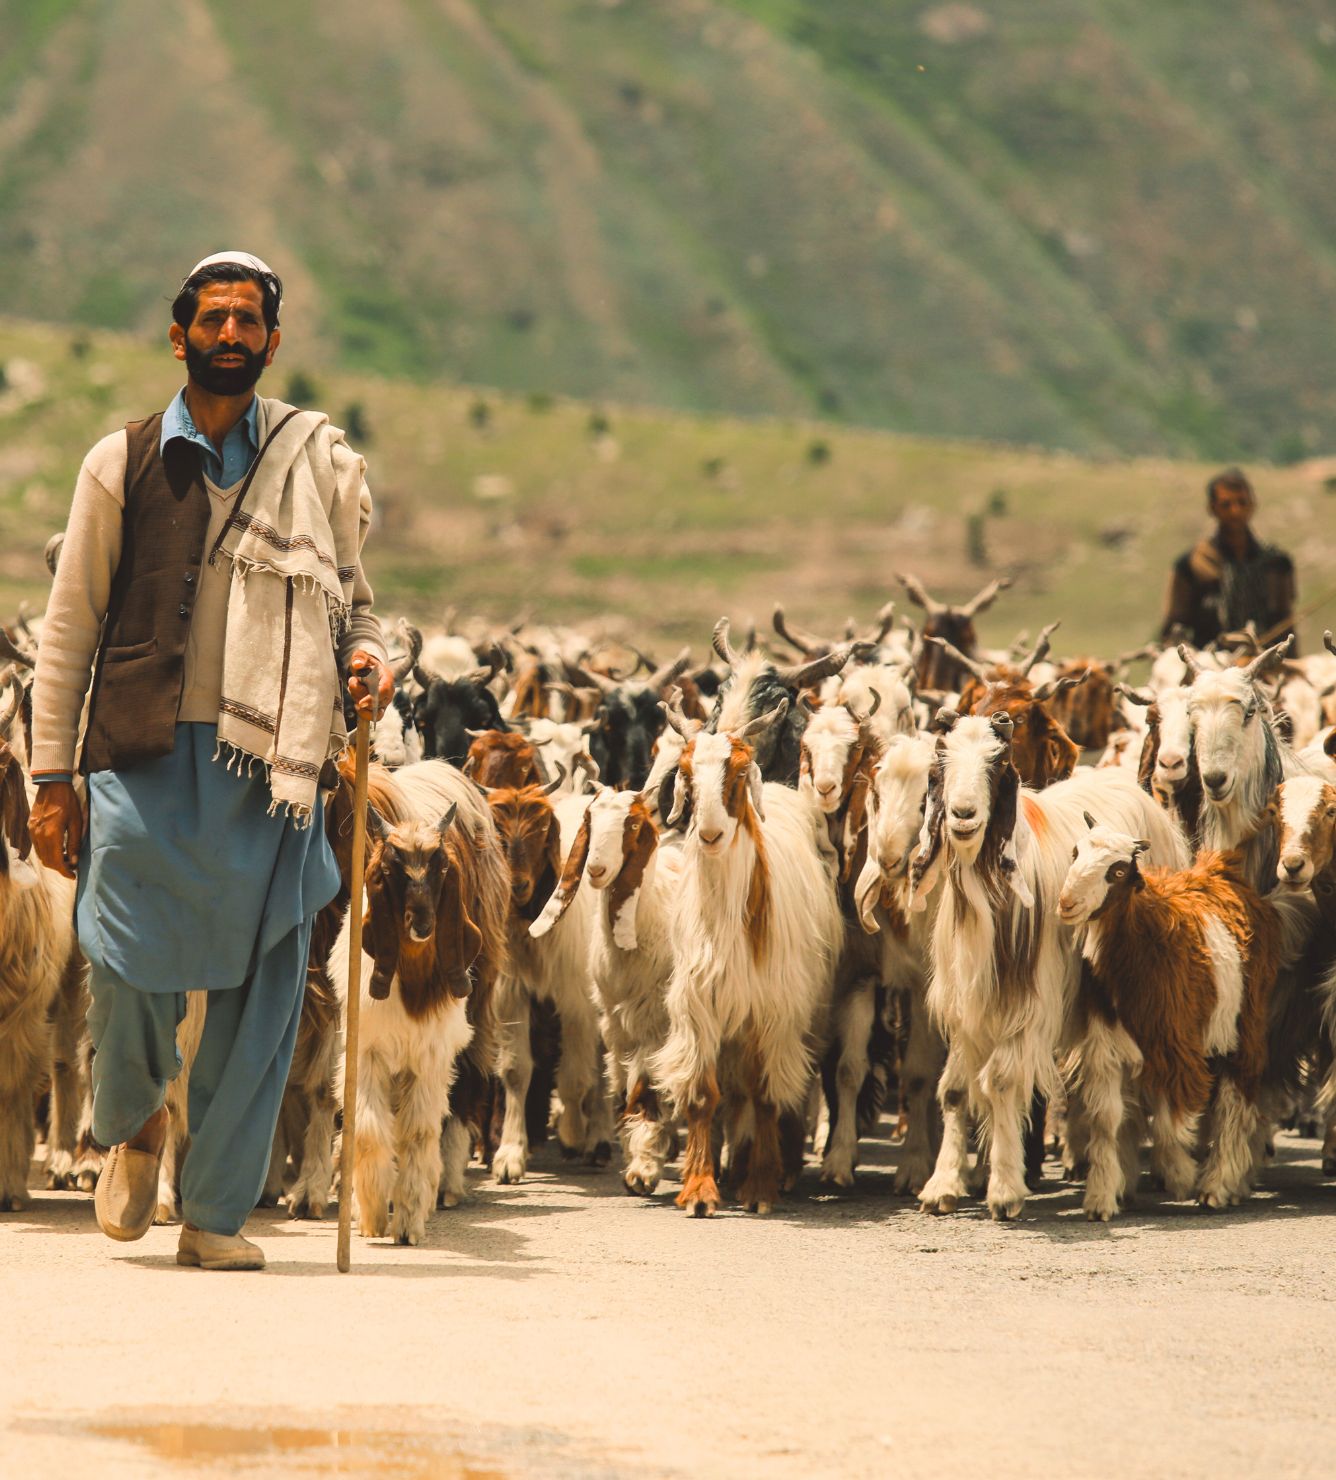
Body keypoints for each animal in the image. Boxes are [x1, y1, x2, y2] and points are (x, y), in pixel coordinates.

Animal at [531, 786, 684, 1194]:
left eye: (631, 825)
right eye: (590, 820)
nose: (596, 869)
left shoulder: (655, 1024)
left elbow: (646, 1086)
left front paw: (644, 1168)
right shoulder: (616, 1026)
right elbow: (623, 1088)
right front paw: (637, 1156)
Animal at [655, 694, 844, 1215]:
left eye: (739, 772)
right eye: (685, 772)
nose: (711, 835)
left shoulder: (774, 1009)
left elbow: (766, 1094)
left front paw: (761, 1186)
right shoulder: (698, 1004)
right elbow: (704, 1094)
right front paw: (699, 1190)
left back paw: (778, 1168)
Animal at [910, 710, 1190, 1221]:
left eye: (998, 764)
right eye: (940, 766)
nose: (963, 815)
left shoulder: (1029, 1004)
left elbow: (1001, 1081)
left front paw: (1005, 1190)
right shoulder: (966, 1008)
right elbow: (956, 1090)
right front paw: (943, 1185)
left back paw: (1165, 1170)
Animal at [1059, 826, 1310, 1208]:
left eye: (1117, 871)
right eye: (1074, 853)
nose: (1067, 903)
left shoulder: (1176, 1047)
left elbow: (1169, 1122)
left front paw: (1180, 1176)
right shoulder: (1106, 1046)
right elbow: (1108, 1118)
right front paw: (1105, 1194)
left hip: (1244, 1024)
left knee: (1236, 1098)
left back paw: (1219, 1185)